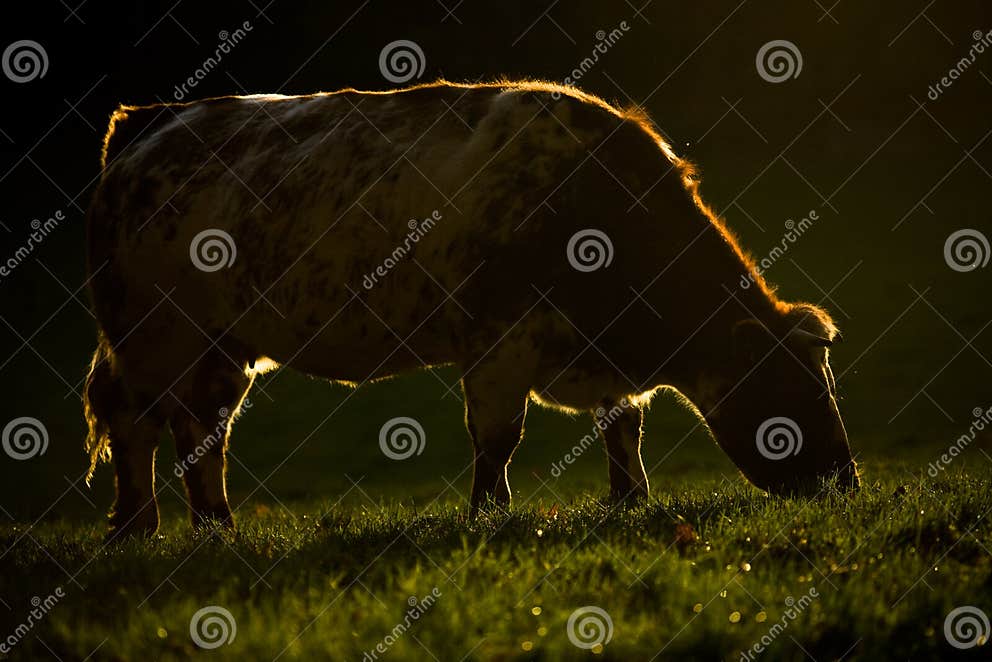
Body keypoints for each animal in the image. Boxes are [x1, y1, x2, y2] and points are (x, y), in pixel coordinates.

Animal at [83, 80, 859, 536]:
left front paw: (629, 500)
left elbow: (623, 426)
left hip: (219, 348)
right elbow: (498, 438)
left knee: (198, 429)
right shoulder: (500, 345)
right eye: (788, 388)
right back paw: (146, 525)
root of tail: (147, 123)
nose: (844, 483)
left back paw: (203, 526)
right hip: (153, 335)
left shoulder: (600, 359)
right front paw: (490, 514)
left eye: (826, 384)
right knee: (139, 421)